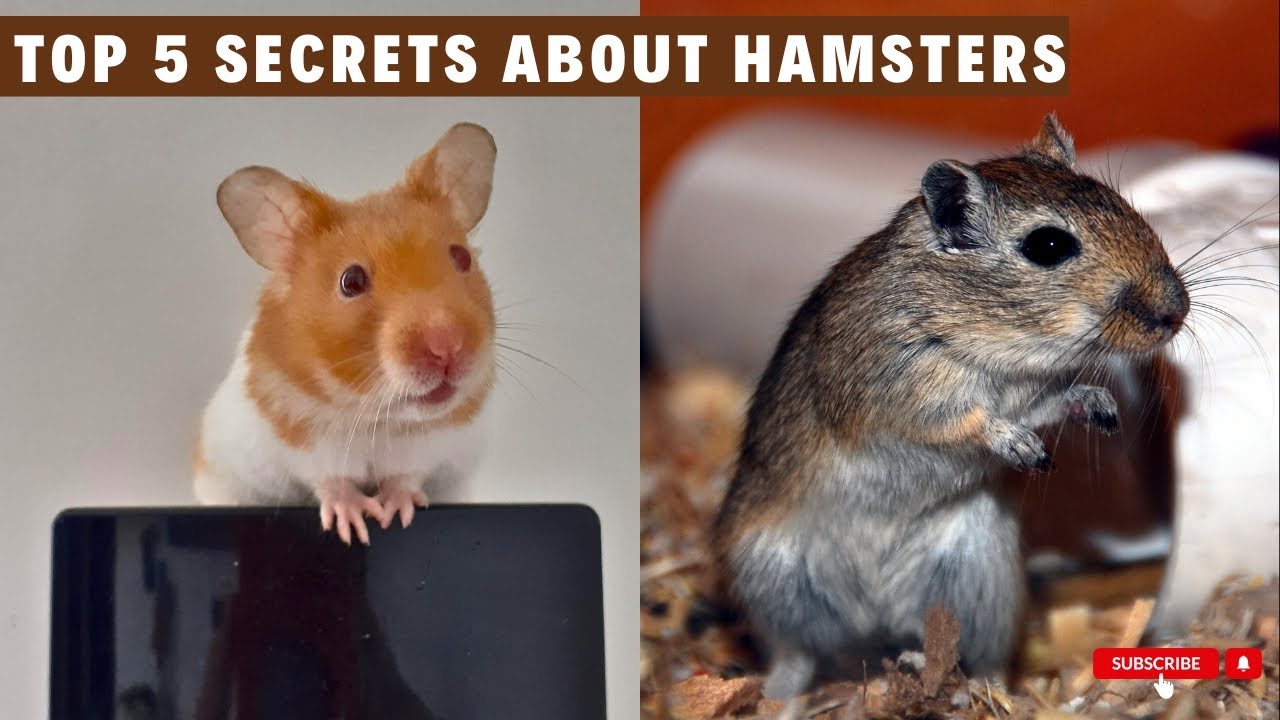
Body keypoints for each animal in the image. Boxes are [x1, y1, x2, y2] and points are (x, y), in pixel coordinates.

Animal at [194, 122, 499, 546]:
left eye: (461, 257)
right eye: (350, 281)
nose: (447, 347)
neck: (378, 418)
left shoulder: (434, 440)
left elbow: (406, 475)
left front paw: (395, 512)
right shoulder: (301, 437)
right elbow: (330, 479)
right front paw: (355, 524)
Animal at [713, 114, 1189, 706]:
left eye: (1122, 204)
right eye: (1049, 244)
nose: (1177, 312)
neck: (984, 328)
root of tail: (875, 617)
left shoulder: (1033, 392)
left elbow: (1058, 401)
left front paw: (1100, 410)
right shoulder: (913, 396)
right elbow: (972, 421)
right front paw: (1026, 450)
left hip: (981, 577)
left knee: (977, 658)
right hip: (770, 573)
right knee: (795, 655)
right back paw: (779, 701)